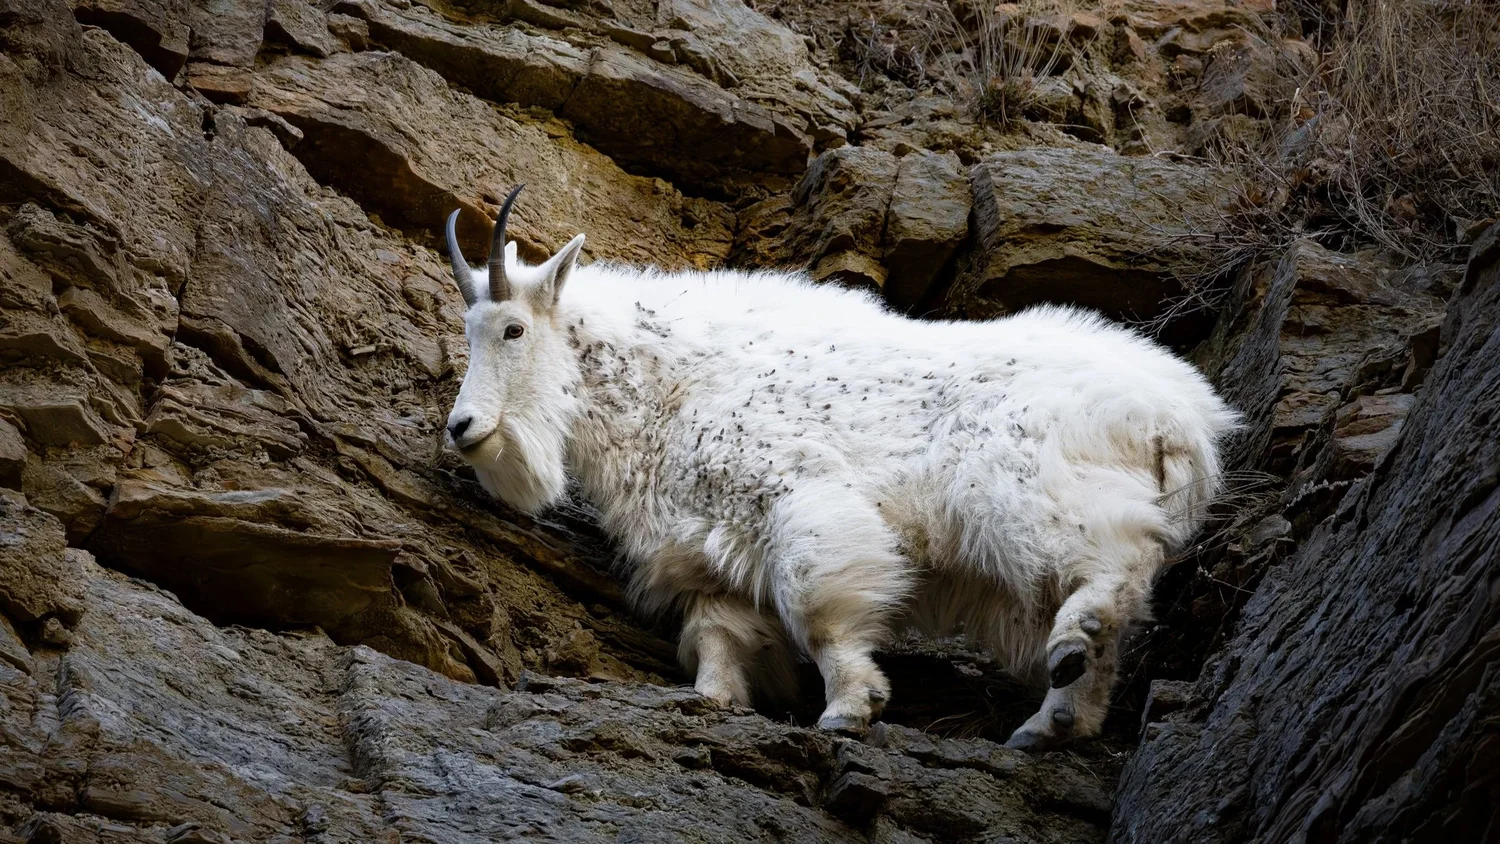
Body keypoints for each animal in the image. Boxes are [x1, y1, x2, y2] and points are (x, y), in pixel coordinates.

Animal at [442, 186, 1238, 750]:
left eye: (512, 329)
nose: (463, 428)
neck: (670, 384)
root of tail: (1184, 421)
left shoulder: (800, 502)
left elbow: (821, 612)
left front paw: (852, 709)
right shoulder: (710, 555)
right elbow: (716, 638)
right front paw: (712, 702)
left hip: (1040, 496)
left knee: (1116, 567)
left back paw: (1068, 652)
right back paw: (1051, 725)